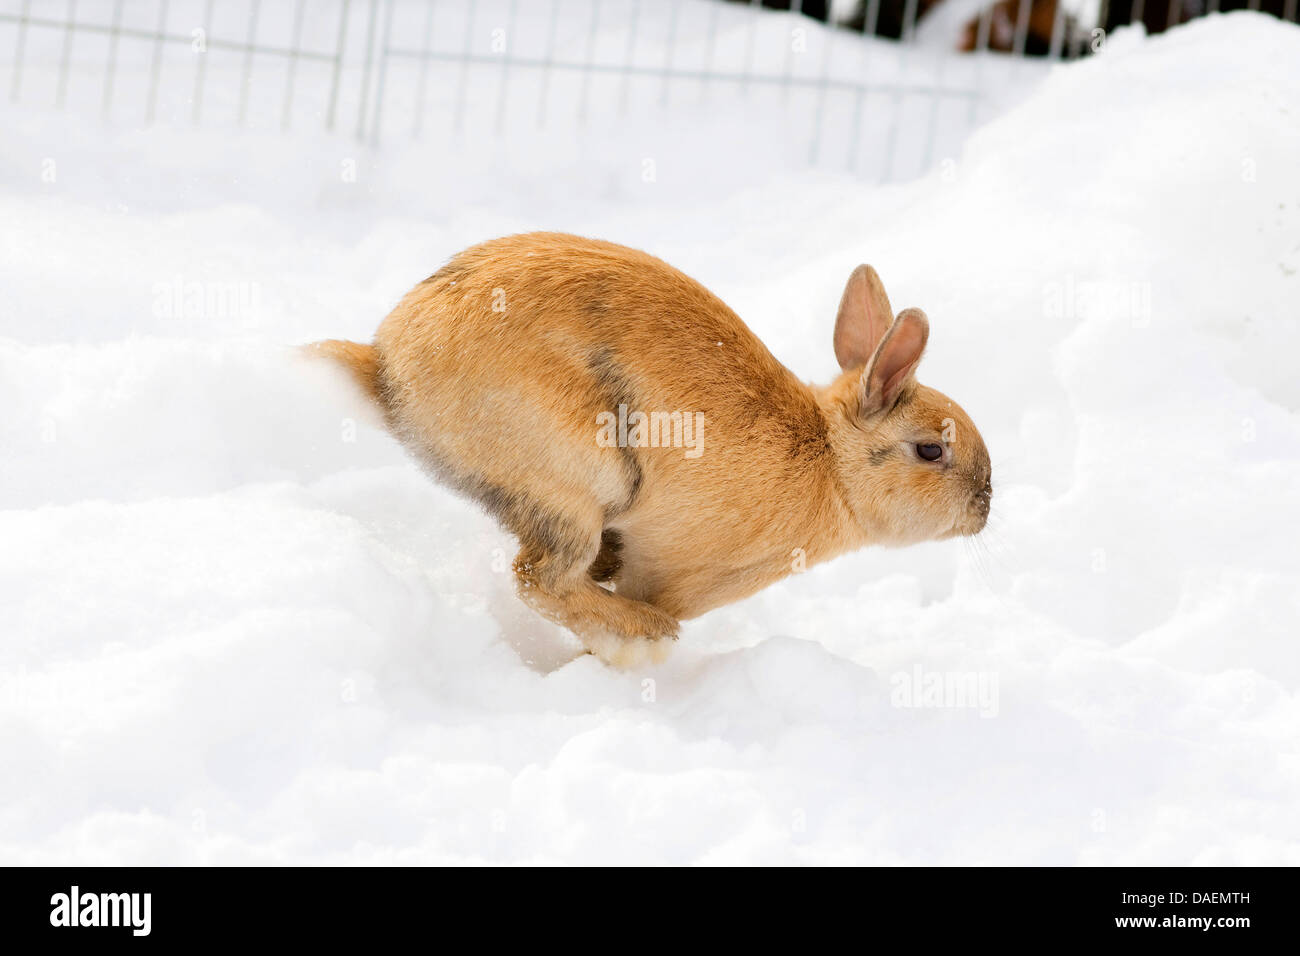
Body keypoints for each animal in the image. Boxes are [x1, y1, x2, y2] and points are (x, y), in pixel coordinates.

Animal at [309, 232, 991, 668]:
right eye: (932, 452)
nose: (985, 507)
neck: (831, 465)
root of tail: (389, 370)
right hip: (584, 481)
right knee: (541, 578)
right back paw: (644, 637)